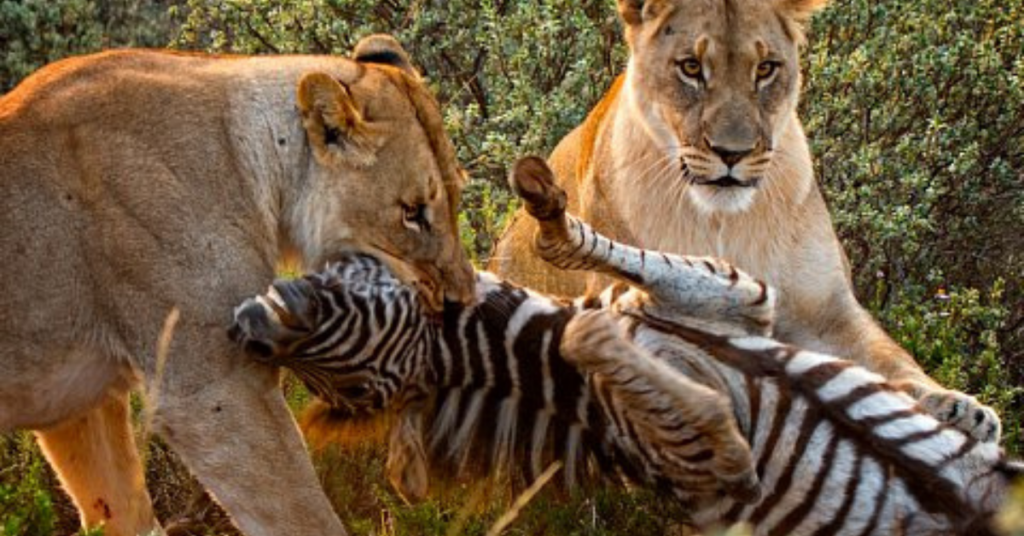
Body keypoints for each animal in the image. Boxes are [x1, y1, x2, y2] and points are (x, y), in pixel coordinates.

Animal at [0, 35, 473, 536]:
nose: (460, 303)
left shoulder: (77, 408)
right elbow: (303, 516)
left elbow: (122, 509)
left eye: (456, 196)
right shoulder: (214, 390)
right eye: (412, 212)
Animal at [229, 157, 1020, 535]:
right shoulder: (707, 464)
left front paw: (552, 219)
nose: (245, 328)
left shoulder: (743, 296)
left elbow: (621, 266)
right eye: (354, 390)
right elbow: (601, 344)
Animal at [489, 0, 997, 422]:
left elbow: (888, 358)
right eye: (691, 68)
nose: (731, 153)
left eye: (766, 69)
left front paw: (955, 405)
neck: (726, 219)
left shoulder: (825, 310)